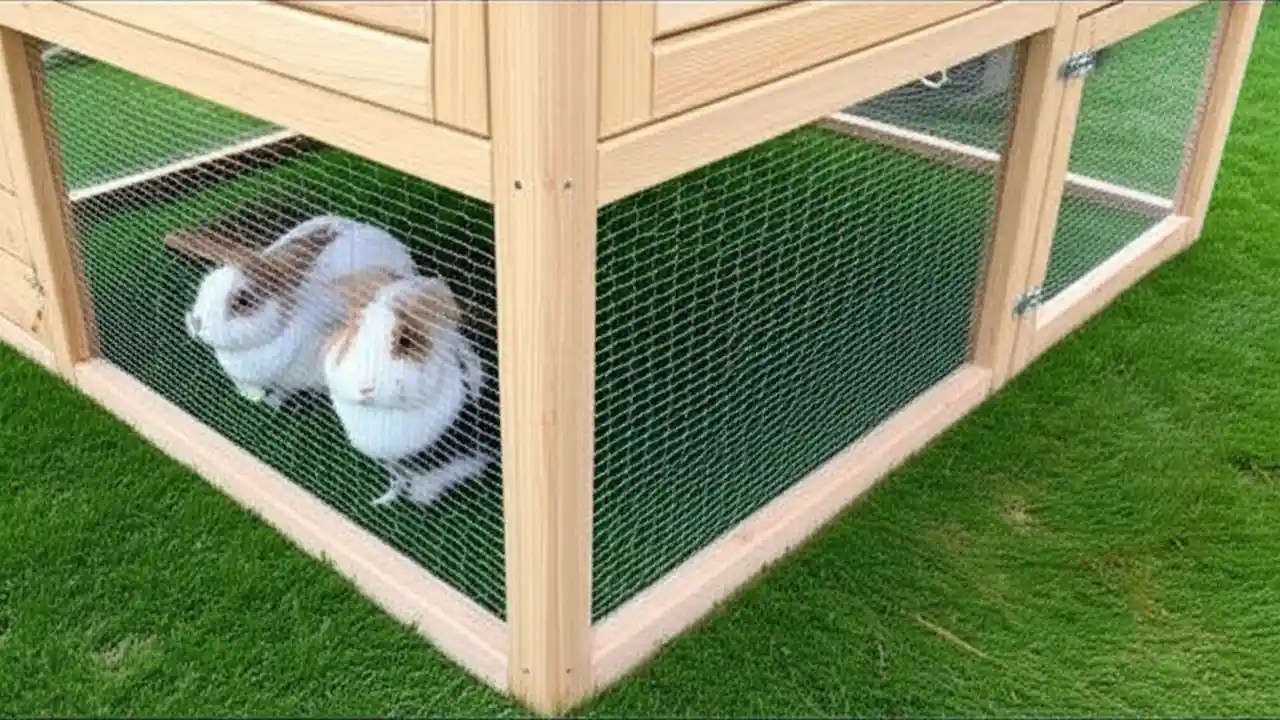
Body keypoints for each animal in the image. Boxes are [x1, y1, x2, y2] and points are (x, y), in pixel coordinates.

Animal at [165, 215, 417, 408]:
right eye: (207, 282)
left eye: (243, 301)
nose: (196, 323)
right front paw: (253, 396)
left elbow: (282, 392)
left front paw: (270, 402)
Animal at [324, 268, 489, 506]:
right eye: (352, 334)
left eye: (405, 341)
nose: (366, 388)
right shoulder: (391, 459)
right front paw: (383, 500)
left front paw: (418, 494)